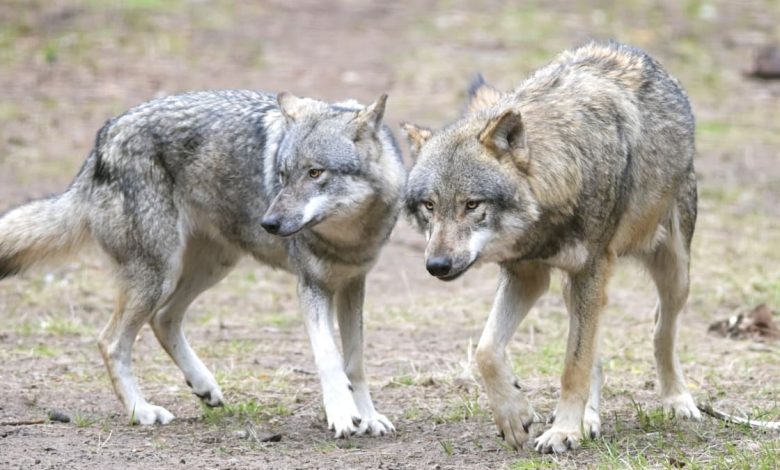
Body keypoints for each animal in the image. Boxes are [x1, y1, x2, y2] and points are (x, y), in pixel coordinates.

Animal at [0, 89, 405, 437]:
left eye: (315, 173)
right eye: (282, 175)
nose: (269, 224)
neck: (348, 237)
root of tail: (105, 136)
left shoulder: (353, 286)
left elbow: (355, 362)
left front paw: (368, 417)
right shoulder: (311, 287)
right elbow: (329, 358)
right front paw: (342, 414)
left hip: (212, 267)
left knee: (163, 319)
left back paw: (203, 385)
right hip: (159, 277)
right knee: (110, 341)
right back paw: (141, 411)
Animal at [402, 42, 700, 453]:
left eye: (472, 204)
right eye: (430, 206)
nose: (437, 265)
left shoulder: (589, 270)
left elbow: (574, 365)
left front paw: (563, 431)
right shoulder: (527, 275)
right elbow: (486, 350)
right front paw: (515, 416)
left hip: (674, 273)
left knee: (660, 330)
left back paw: (676, 399)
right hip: (573, 288)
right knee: (597, 352)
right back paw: (590, 418)